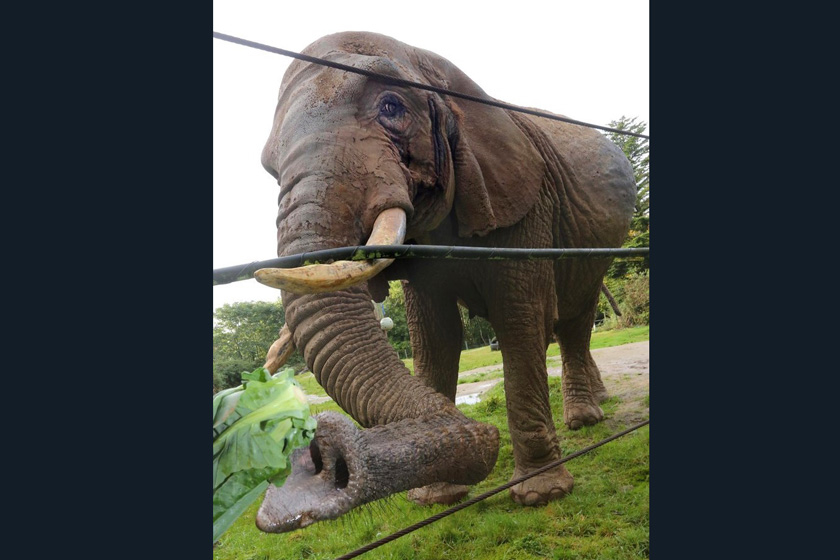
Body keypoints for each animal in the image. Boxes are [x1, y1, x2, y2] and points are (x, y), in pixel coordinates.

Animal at [253, 31, 632, 532]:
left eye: (392, 107)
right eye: (269, 168)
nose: (314, 458)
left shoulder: (525, 200)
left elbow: (520, 319)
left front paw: (542, 495)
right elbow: (435, 336)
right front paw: (434, 501)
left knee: (574, 318)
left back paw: (585, 420)